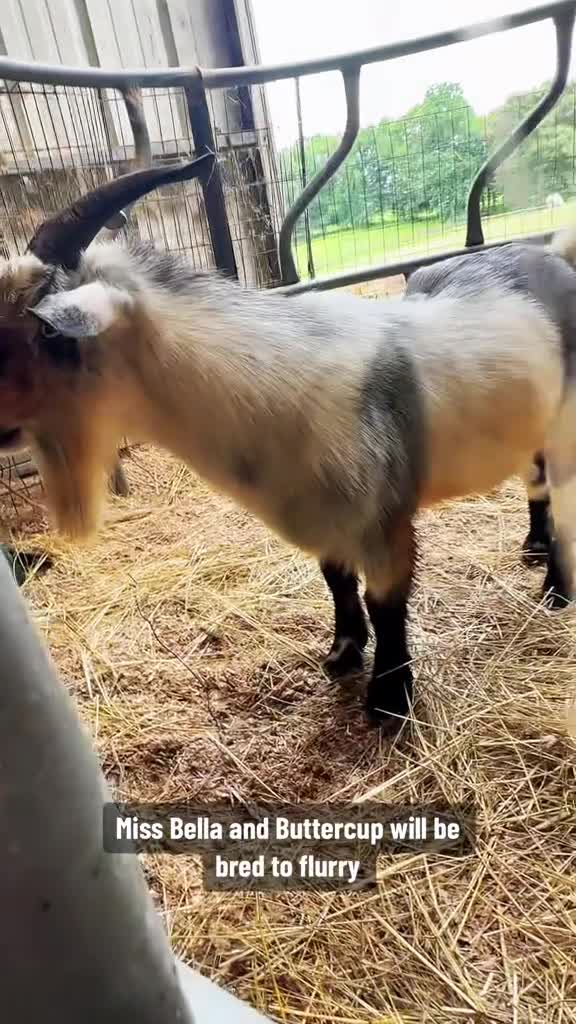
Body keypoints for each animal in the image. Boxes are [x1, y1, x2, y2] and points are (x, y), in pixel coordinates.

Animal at [1, 161, 576, 732]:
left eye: (49, 336)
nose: (2, 425)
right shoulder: (325, 513)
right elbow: (336, 580)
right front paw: (344, 653)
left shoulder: (384, 520)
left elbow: (385, 602)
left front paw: (390, 701)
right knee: (537, 481)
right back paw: (533, 546)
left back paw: (556, 589)